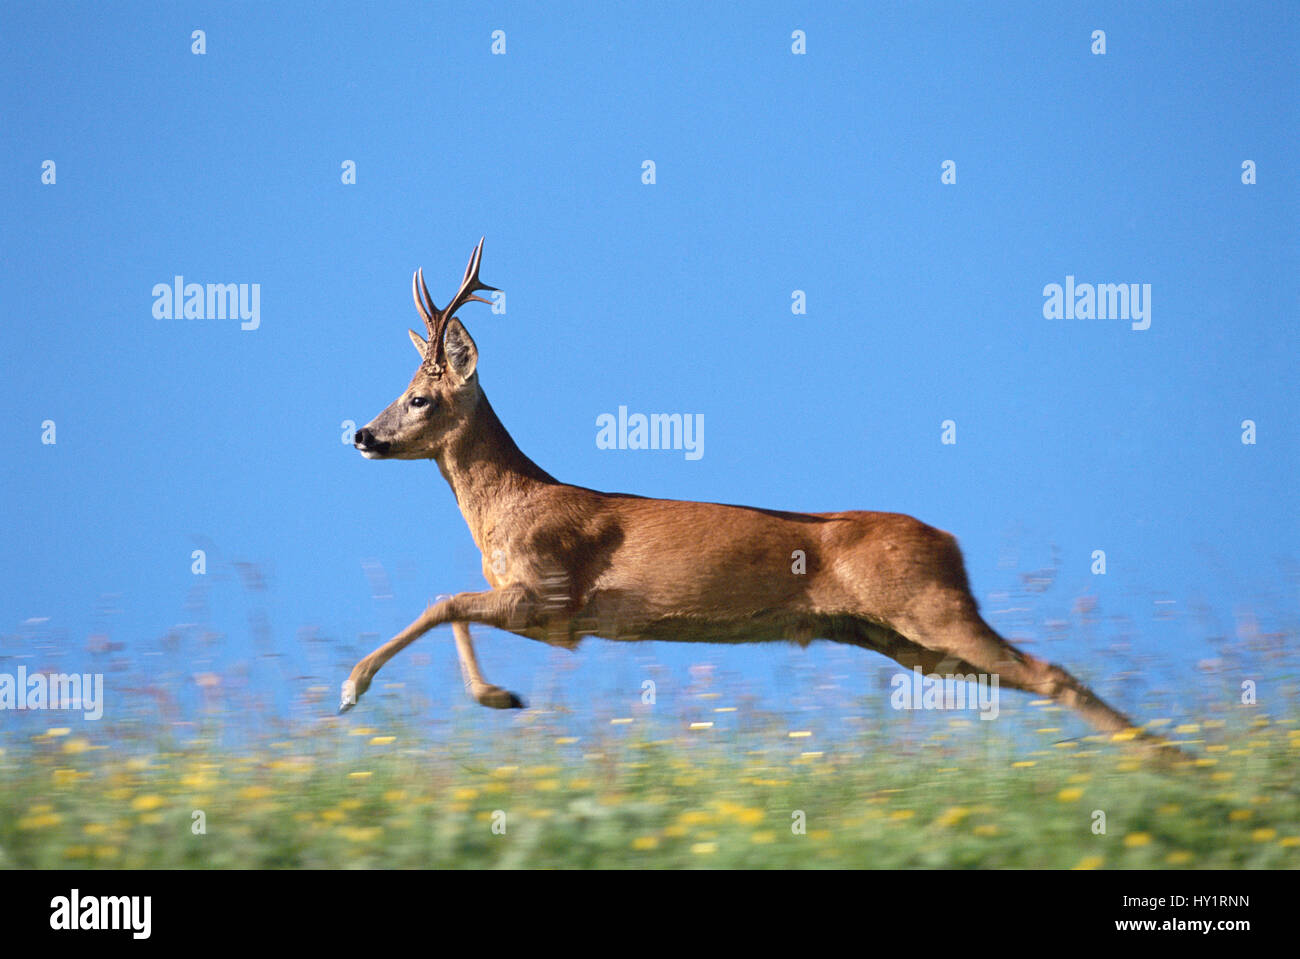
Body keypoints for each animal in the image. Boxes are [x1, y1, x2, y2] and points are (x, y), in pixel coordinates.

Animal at [342, 238, 1177, 758]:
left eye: (419, 397)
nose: (362, 433)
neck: (510, 509)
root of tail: (952, 543)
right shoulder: (547, 612)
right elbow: (449, 602)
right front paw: (494, 695)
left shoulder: (551, 594)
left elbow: (442, 601)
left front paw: (366, 689)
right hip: (905, 639)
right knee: (1031, 676)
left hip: (930, 607)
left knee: (1054, 671)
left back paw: (1173, 769)